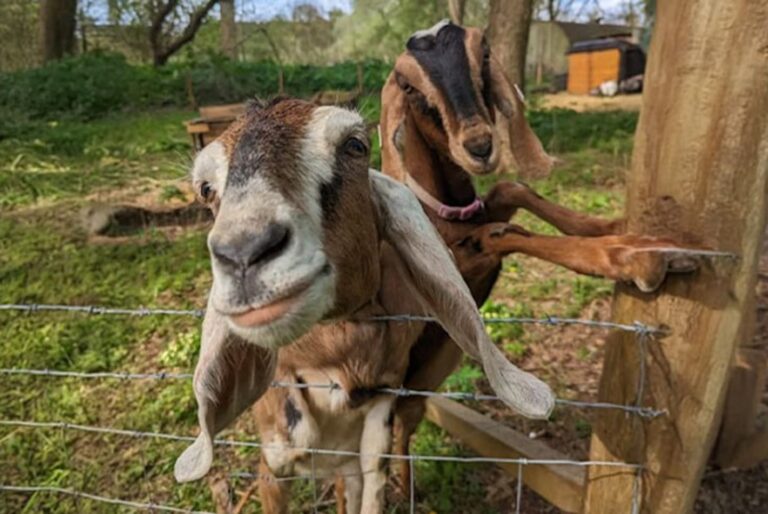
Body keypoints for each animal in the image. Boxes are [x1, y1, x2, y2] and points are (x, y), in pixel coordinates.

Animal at [172, 98, 555, 513]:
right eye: (205, 189)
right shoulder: (273, 459)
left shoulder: (382, 403)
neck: (337, 359)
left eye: (355, 145)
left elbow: (373, 474)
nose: (244, 252)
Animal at [379, 20, 698, 492]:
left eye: (484, 53)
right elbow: (501, 235)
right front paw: (634, 255)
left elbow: (512, 191)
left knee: (404, 417)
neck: (441, 212)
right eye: (407, 85)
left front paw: (614, 225)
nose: (478, 145)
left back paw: (404, 485)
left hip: (425, 372)